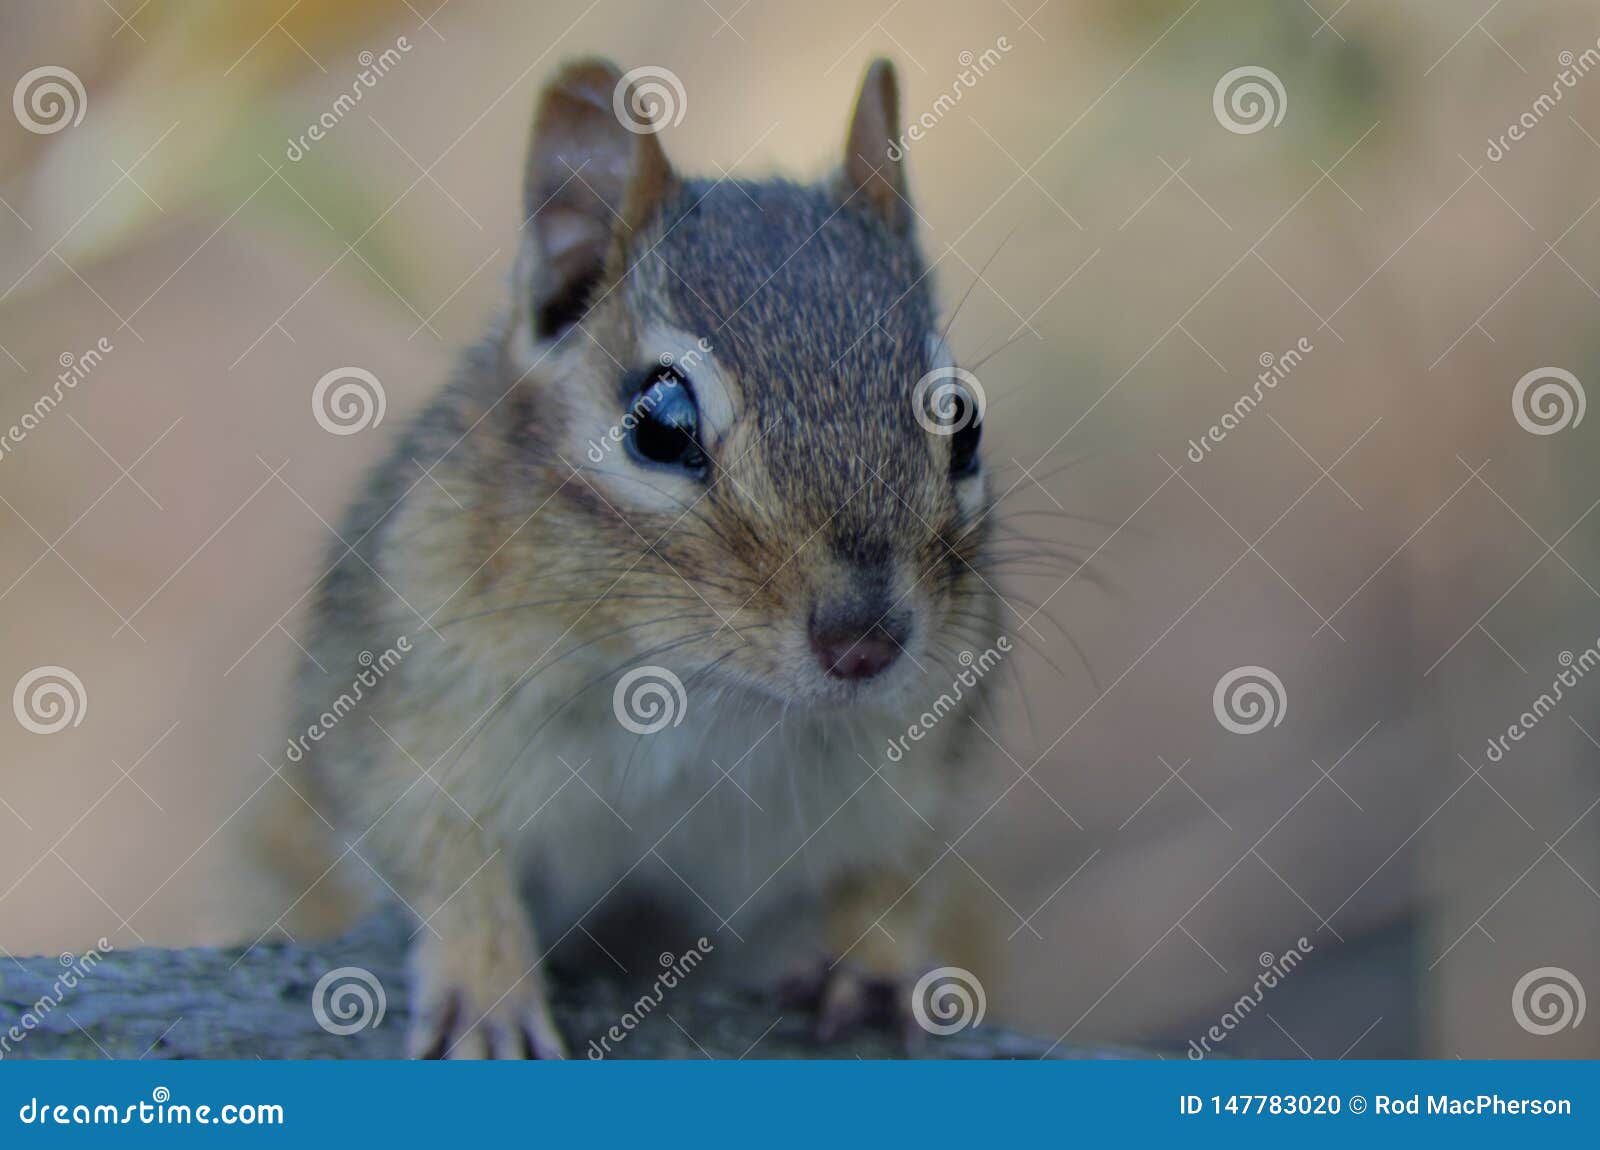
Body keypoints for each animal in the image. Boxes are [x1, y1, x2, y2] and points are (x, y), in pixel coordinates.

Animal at [290, 56, 1000, 1059]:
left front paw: (874, 957)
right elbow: (439, 846)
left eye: (963, 419)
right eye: (658, 424)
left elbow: (894, 869)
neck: (694, 686)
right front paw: (485, 980)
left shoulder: (923, 754)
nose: (865, 642)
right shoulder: (411, 688)